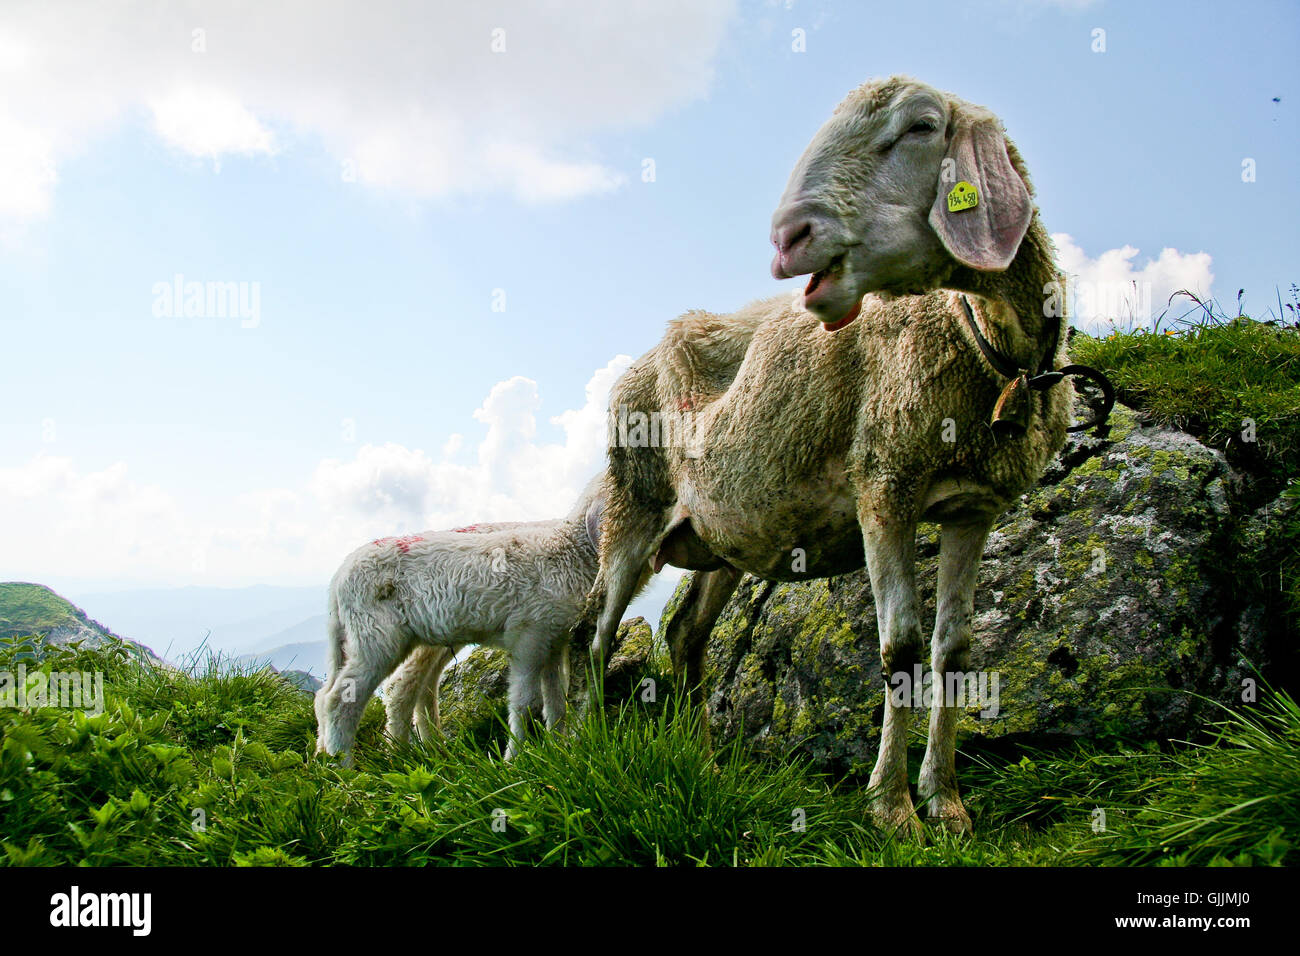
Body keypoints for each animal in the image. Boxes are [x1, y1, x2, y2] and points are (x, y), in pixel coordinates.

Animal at [314, 475, 608, 764]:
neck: (566, 549)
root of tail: (338, 579)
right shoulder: (527, 635)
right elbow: (526, 703)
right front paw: (515, 760)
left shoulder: (552, 636)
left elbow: (556, 700)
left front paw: (559, 748)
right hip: (375, 635)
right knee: (342, 700)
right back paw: (345, 765)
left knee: (331, 695)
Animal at [577, 76, 1106, 837]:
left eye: (921, 127)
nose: (787, 237)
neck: (980, 338)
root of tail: (640, 362)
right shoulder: (884, 483)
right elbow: (901, 647)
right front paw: (892, 807)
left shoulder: (973, 508)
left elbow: (952, 649)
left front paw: (947, 803)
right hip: (633, 507)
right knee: (597, 632)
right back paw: (584, 745)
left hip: (725, 537)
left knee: (684, 633)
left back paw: (703, 760)